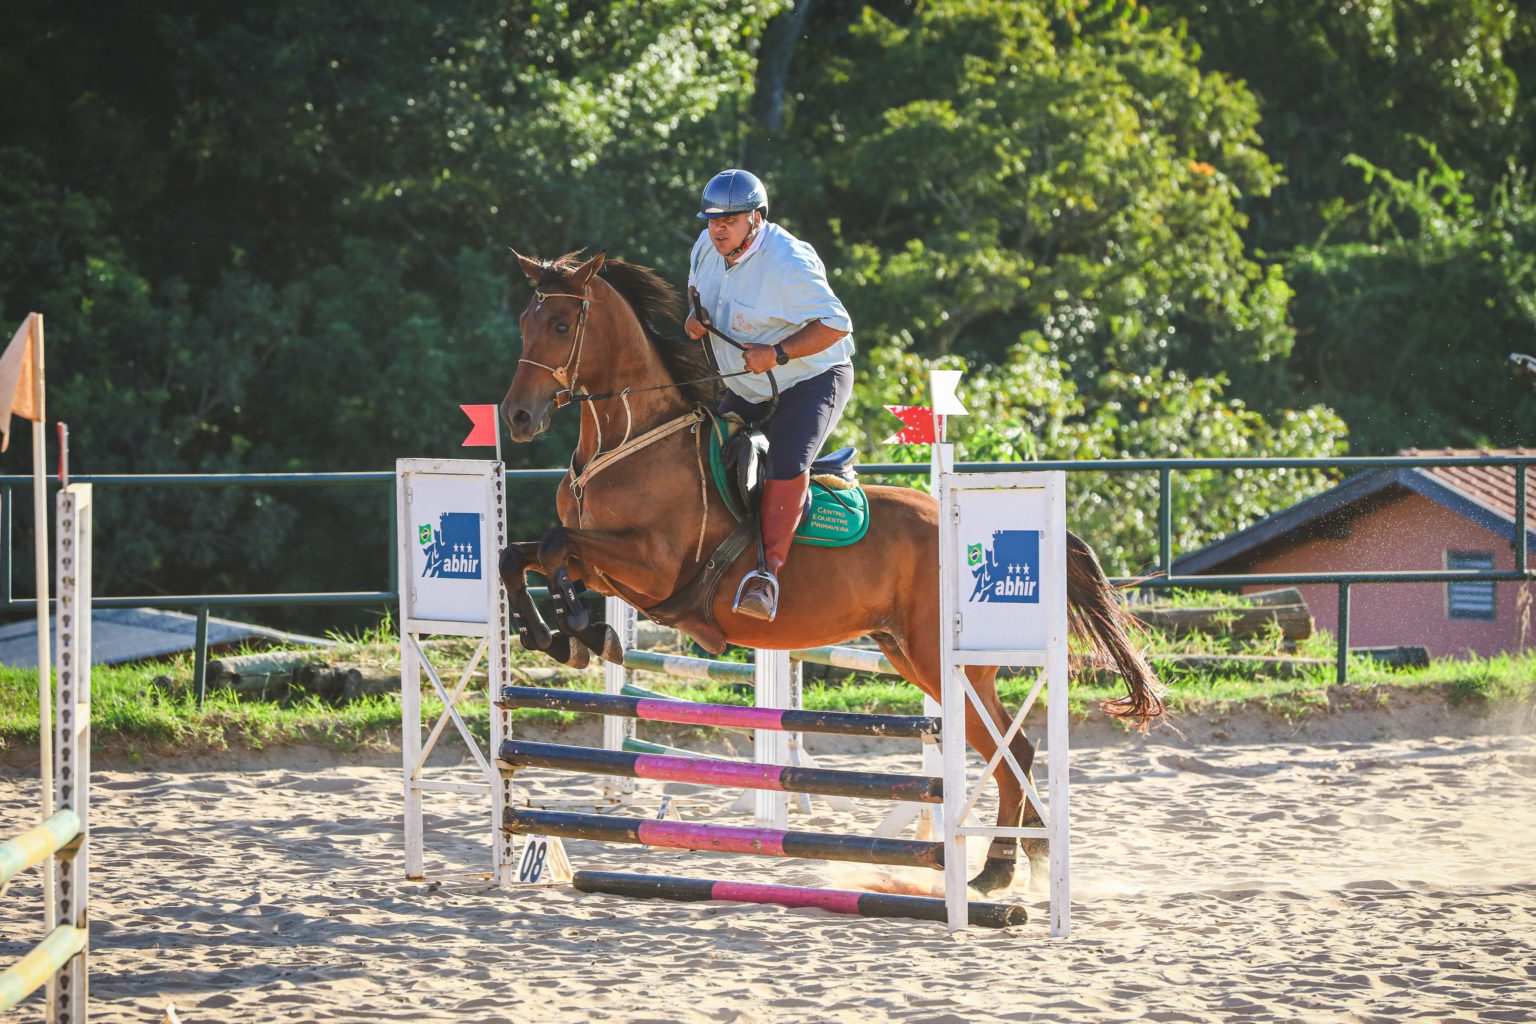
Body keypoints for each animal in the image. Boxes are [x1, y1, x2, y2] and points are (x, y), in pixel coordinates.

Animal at [497, 248, 1162, 895]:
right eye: (524, 322)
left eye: (562, 325)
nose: (517, 417)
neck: (627, 442)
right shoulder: (608, 565)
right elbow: (523, 555)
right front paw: (557, 635)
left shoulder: (652, 568)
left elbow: (554, 549)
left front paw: (576, 631)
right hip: (906, 654)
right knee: (1012, 749)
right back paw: (1021, 863)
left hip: (945, 665)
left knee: (1013, 749)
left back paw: (999, 869)